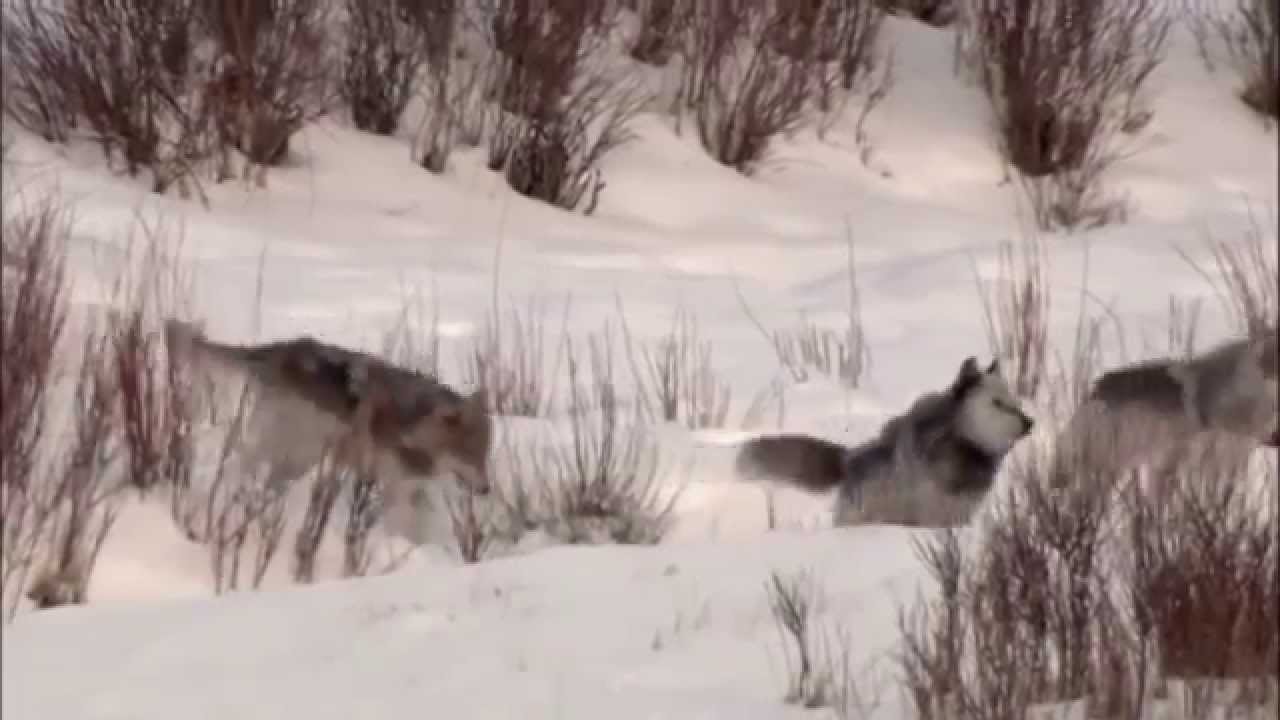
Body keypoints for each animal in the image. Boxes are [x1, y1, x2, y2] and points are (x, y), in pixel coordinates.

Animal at [164, 320, 494, 501]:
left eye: (484, 455)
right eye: (469, 454)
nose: (487, 490)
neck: (411, 423)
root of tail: (279, 349)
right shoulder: (386, 483)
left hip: (298, 459)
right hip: (289, 448)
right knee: (242, 459)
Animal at [735, 357, 1034, 527]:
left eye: (1015, 402)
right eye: (998, 403)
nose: (1029, 422)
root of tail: (849, 460)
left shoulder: (960, 515)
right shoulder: (931, 516)